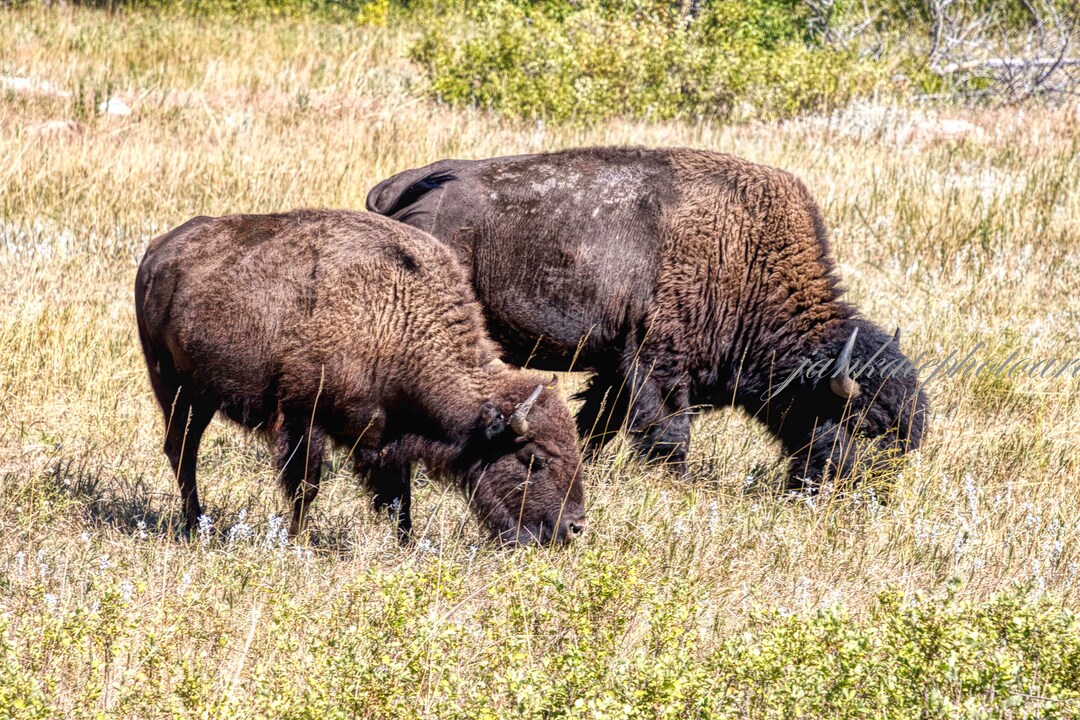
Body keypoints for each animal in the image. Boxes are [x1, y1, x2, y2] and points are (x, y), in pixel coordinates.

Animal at [135, 209, 586, 544]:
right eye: (535, 459)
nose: (574, 528)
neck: (394, 315)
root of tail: (157, 251)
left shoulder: (389, 437)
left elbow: (400, 497)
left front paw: (407, 545)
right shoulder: (304, 418)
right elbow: (306, 486)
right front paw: (298, 542)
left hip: (199, 396)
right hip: (176, 388)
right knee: (182, 451)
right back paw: (195, 525)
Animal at [367, 147, 928, 490]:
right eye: (862, 426)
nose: (869, 493)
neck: (745, 256)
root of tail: (400, 188)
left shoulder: (616, 368)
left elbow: (598, 423)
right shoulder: (657, 366)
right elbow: (667, 434)